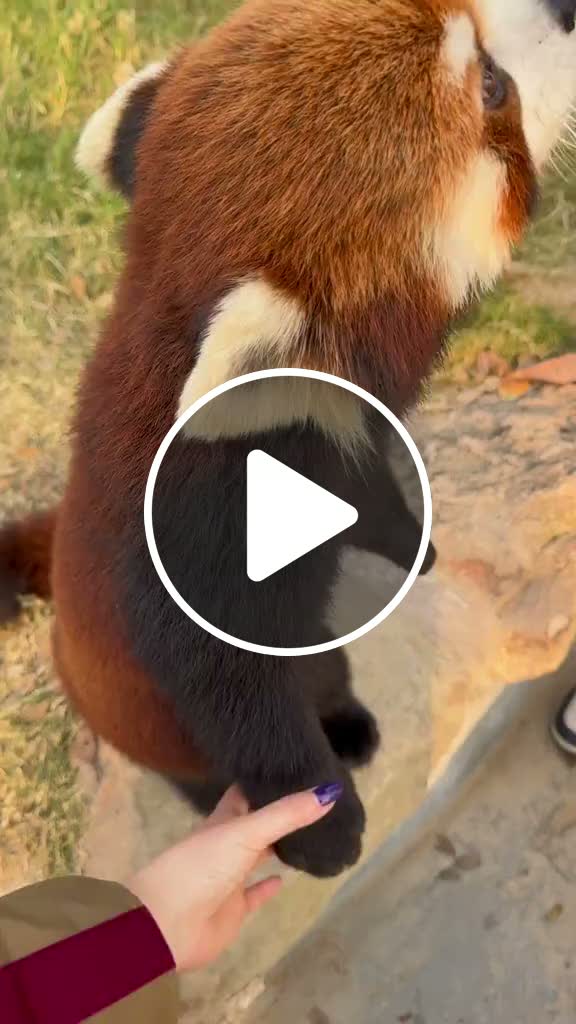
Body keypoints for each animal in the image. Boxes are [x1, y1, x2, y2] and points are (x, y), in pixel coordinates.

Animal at [1, 0, 575, 878]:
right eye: (490, 85)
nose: (566, 11)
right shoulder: (188, 551)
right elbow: (236, 701)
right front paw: (323, 829)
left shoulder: (331, 427)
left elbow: (367, 485)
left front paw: (412, 542)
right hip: (128, 711)